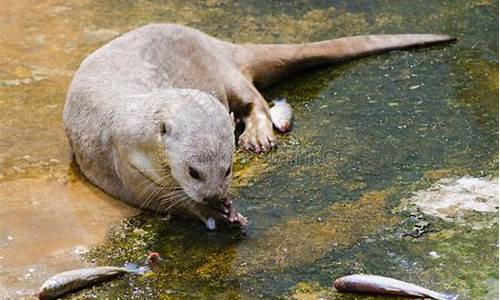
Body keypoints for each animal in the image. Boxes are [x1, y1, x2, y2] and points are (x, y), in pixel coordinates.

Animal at [62, 24, 454, 225]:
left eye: (228, 168)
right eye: (192, 172)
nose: (216, 195)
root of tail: (215, 41)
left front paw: (225, 208)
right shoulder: (127, 164)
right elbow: (167, 202)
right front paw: (213, 213)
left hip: (224, 70)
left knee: (256, 99)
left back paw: (258, 134)